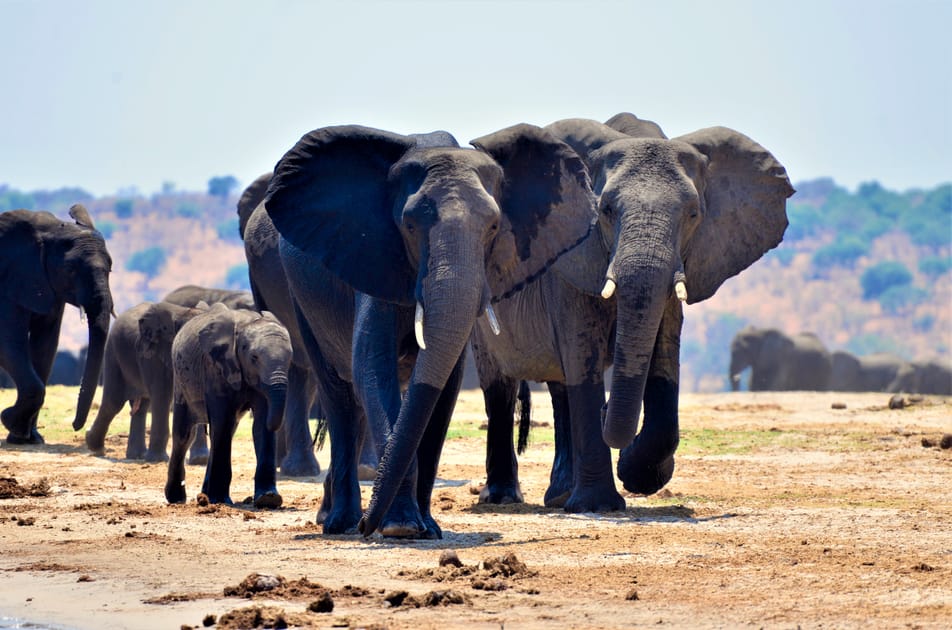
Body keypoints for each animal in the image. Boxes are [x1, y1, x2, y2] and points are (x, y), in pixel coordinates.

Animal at [0, 205, 114, 444]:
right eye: (70, 270)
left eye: (110, 269)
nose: (76, 427)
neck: (48, 231)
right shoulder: (7, 284)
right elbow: (8, 342)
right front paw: (11, 423)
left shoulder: (48, 286)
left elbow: (45, 346)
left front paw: (29, 438)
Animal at [82, 301, 210, 462]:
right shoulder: (154, 354)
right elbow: (162, 395)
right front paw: (159, 460)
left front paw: (200, 460)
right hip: (113, 353)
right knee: (113, 402)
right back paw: (95, 445)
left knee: (141, 405)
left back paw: (137, 456)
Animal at [165, 303, 291, 508]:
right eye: (254, 357)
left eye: (290, 359)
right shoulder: (215, 367)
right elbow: (222, 422)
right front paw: (220, 500)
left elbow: (260, 426)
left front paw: (268, 499)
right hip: (180, 381)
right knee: (184, 435)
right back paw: (177, 498)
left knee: (223, 432)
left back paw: (204, 496)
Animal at [265, 123, 597, 538]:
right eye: (408, 226)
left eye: (493, 227)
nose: (368, 525)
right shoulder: (374, 257)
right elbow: (373, 367)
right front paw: (401, 528)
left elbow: (443, 387)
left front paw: (426, 528)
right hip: (299, 293)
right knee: (339, 394)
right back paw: (340, 522)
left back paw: (339, 517)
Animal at [470, 113, 793, 509]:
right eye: (605, 211)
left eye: (693, 214)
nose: (609, 412)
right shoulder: (573, 258)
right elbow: (583, 359)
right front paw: (597, 506)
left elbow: (663, 358)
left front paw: (636, 474)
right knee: (500, 387)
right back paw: (504, 498)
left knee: (561, 388)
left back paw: (560, 495)